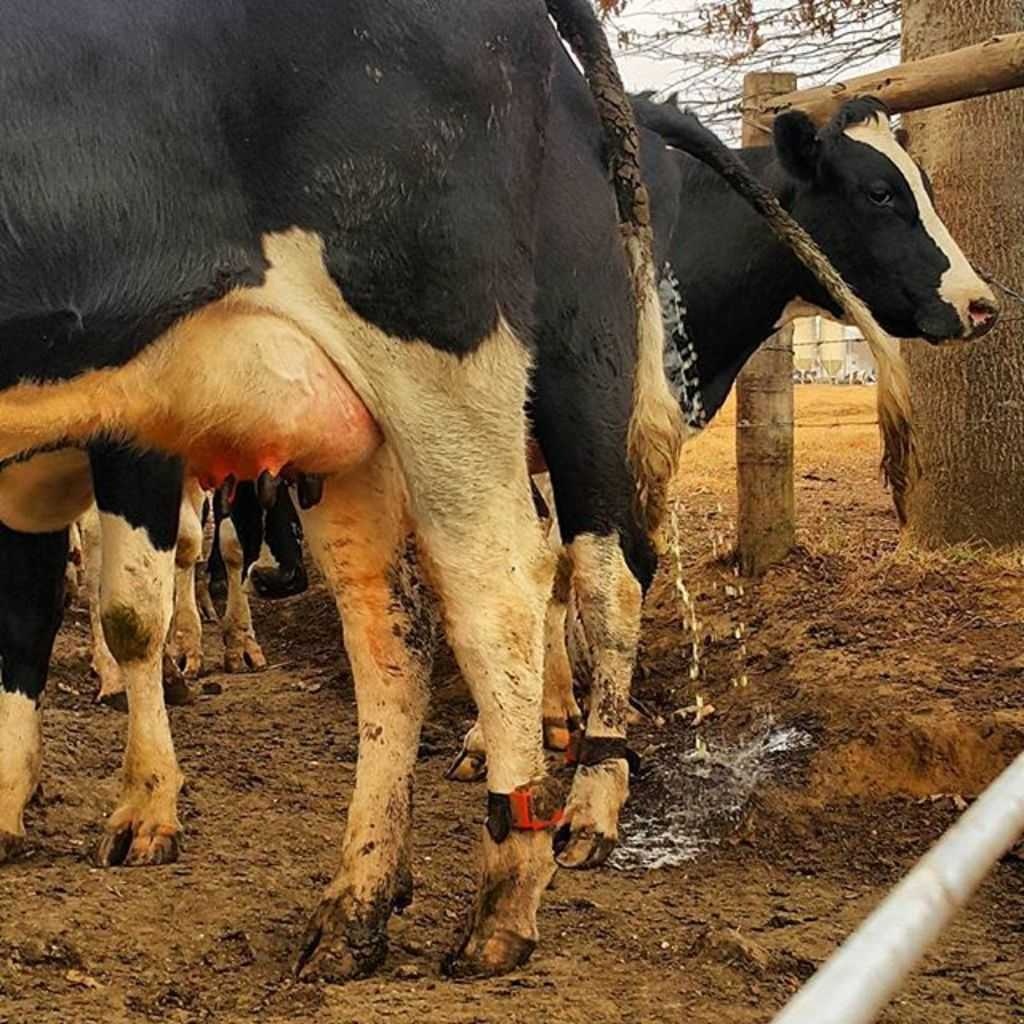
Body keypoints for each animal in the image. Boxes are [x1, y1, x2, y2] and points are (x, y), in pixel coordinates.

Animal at [0, 0, 685, 980]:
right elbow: (22, 614)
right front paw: (11, 796)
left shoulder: (132, 428)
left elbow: (128, 613)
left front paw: (144, 807)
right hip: (351, 418)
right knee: (390, 619)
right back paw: (361, 898)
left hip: (484, 352)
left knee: (532, 585)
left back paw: (522, 875)